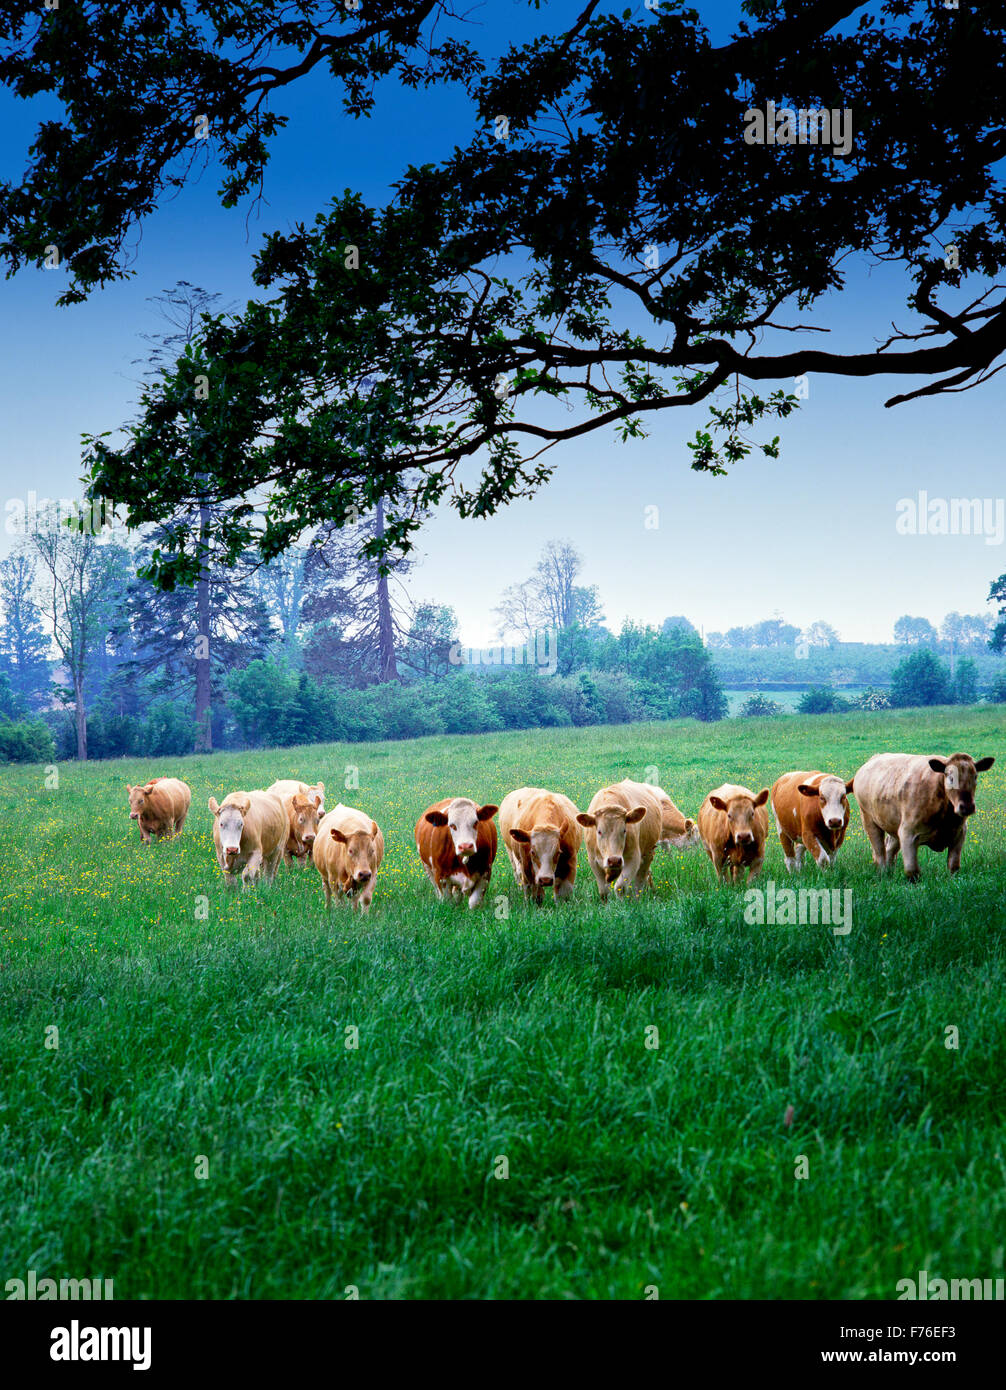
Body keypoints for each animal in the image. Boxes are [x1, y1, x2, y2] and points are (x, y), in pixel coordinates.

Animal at [853, 752, 995, 880]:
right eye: (951, 778)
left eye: (975, 776)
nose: (967, 806)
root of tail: (873, 758)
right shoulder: (907, 832)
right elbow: (912, 871)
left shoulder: (959, 833)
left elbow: (953, 866)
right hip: (869, 820)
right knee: (879, 852)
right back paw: (883, 873)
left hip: (893, 826)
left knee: (889, 849)